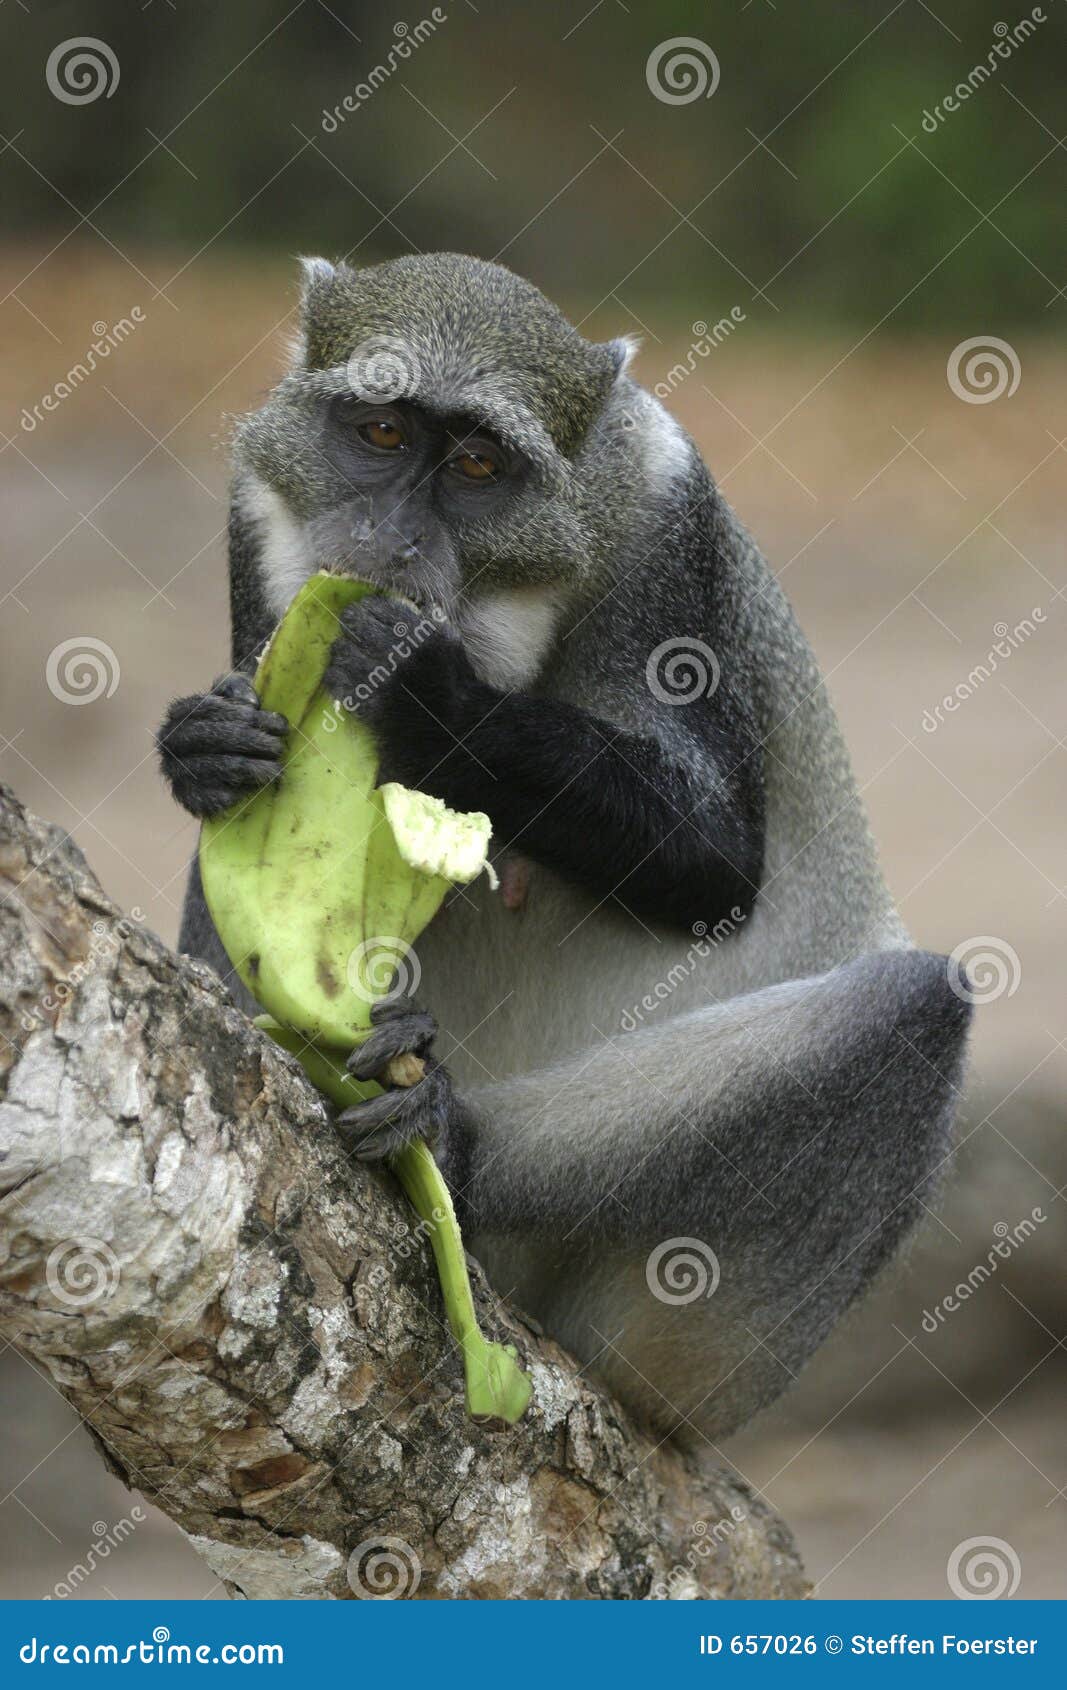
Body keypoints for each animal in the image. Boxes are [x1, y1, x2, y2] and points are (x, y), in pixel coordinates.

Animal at [157, 253, 972, 1450]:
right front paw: (203, 747)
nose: (388, 542)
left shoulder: (667, 532)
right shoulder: (253, 512)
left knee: (915, 1008)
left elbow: (717, 868)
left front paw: (433, 701)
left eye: (478, 464)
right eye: (381, 433)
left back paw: (449, 1139)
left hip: (699, 1340)